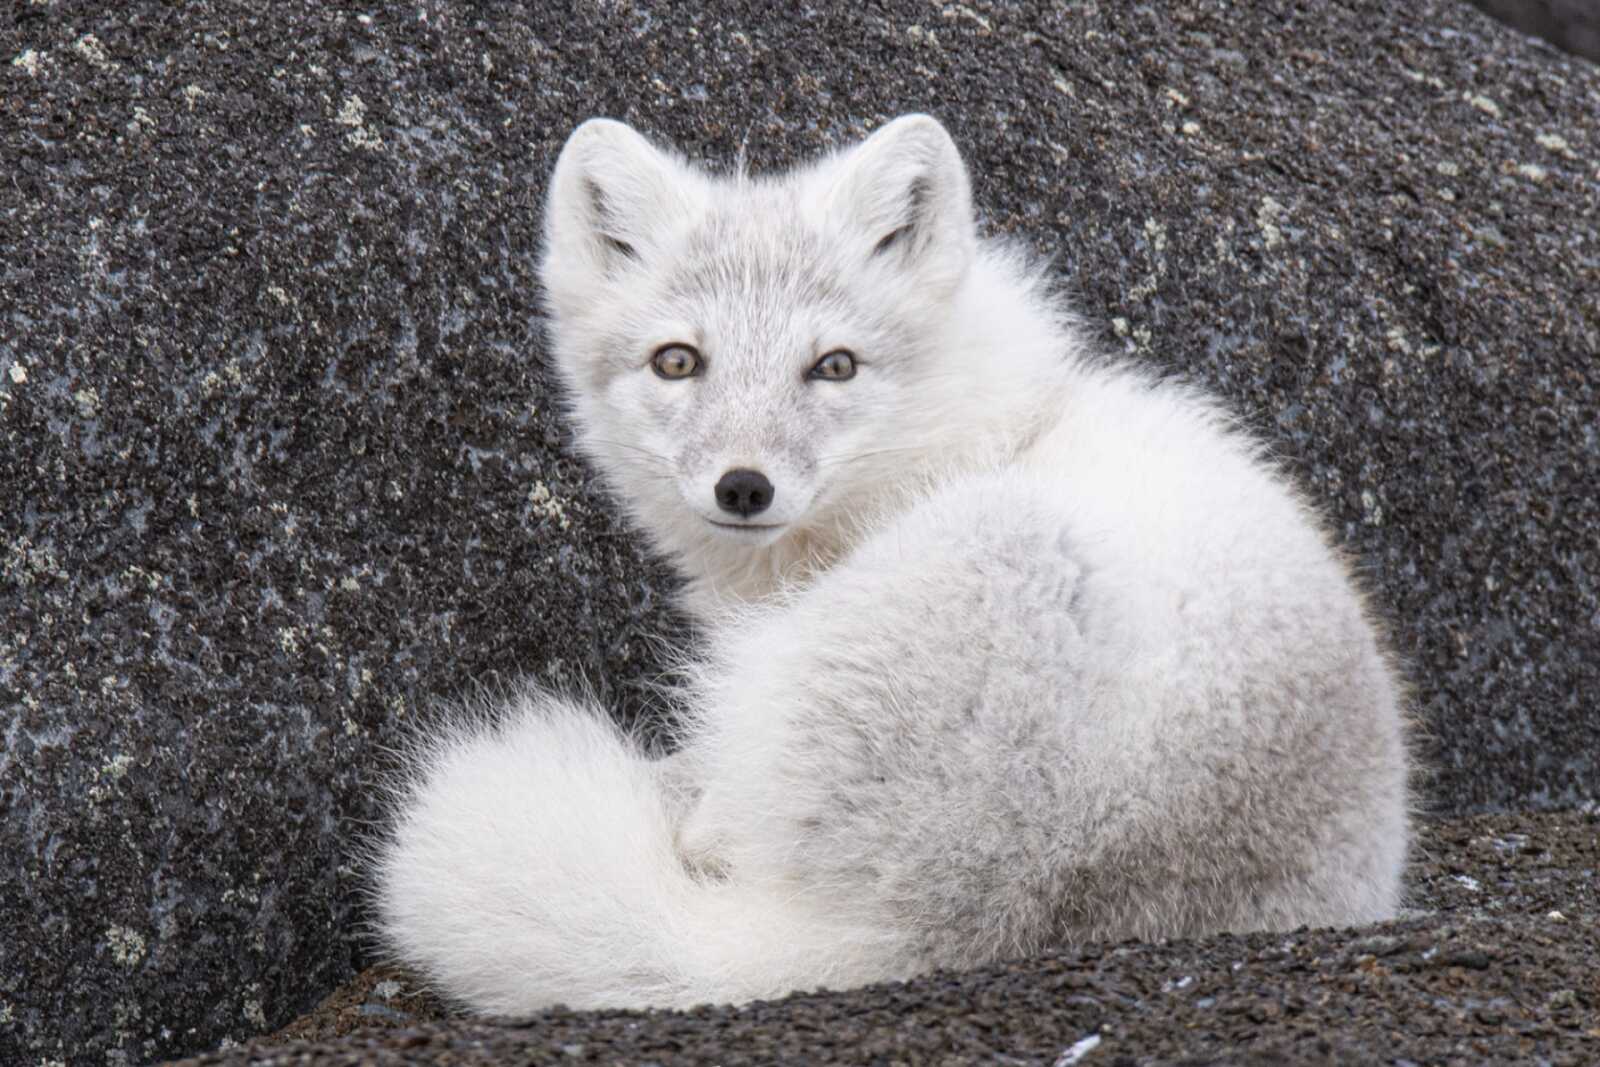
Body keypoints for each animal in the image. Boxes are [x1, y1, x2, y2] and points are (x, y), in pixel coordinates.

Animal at [373, 114, 1412, 1015]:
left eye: (833, 366)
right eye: (678, 361)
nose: (742, 486)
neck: (965, 433)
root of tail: (964, 916)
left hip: (985, 565)